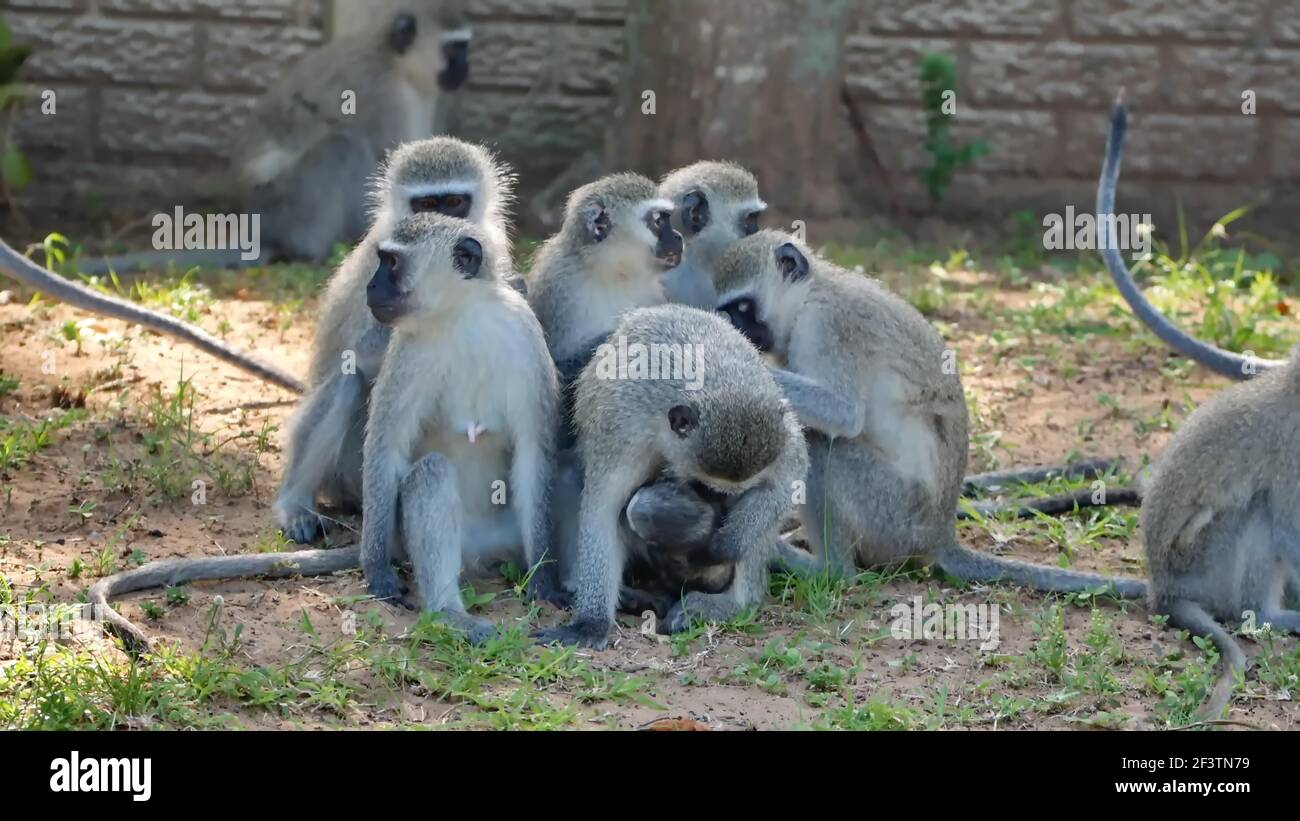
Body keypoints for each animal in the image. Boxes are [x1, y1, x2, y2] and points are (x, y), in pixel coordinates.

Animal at [77, 8, 472, 276]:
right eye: (454, 50)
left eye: (464, 48)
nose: (465, 69)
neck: (395, 62)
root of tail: (261, 225)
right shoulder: (382, 94)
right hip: (287, 205)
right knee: (342, 145)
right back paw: (310, 248)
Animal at [274, 136, 517, 543]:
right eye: (427, 204)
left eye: (455, 203)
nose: (452, 236)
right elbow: (362, 353)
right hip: (346, 471)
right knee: (347, 380)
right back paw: (293, 504)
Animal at [359, 212, 563, 642]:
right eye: (382, 259)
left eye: (392, 263)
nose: (371, 286)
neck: (464, 314)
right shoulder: (408, 350)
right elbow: (386, 449)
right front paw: (377, 569)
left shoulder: (526, 338)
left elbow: (534, 454)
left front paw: (543, 578)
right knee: (432, 472)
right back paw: (450, 613)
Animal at [533, 304, 809, 649]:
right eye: (705, 490)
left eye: (732, 496)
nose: (721, 516)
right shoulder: (622, 429)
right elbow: (602, 508)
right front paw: (591, 624)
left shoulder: (778, 429)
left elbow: (789, 476)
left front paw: (724, 545)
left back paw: (734, 602)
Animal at [711, 230, 1148, 597]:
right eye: (728, 309)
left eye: (742, 307)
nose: (731, 325)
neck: (810, 294)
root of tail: (939, 533)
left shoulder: (829, 325)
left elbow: (844, 413)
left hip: (892, 511)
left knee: (822, 445)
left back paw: (827, 569)